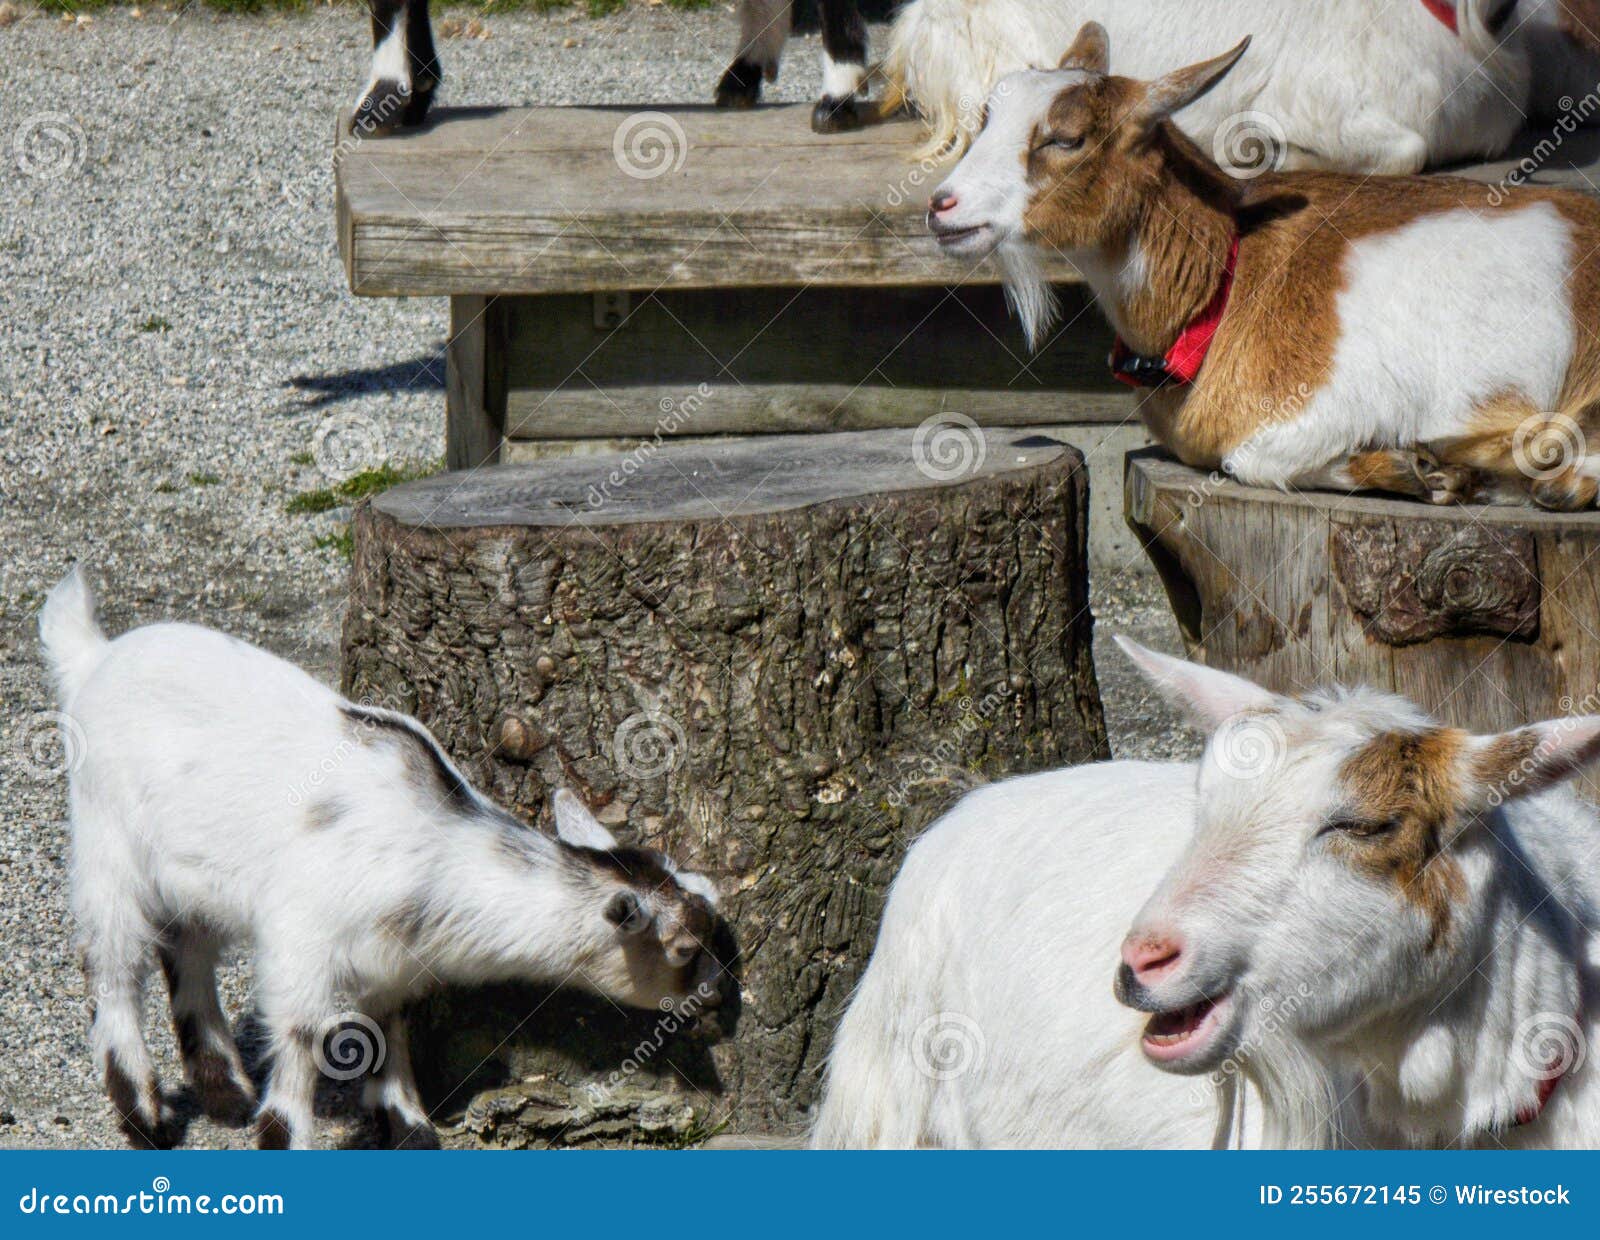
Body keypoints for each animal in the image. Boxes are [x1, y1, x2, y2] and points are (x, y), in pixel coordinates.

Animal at [39, 567, 722, 1150]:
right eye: (683, 948)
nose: (717, 994)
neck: (436, 851)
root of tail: (94, 657)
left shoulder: (395, 959)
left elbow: (389, 1029)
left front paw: (410, 1128)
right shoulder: (302, 944)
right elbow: (299, 1036)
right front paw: (285, 1139)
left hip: (193, 872)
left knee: (187, 949)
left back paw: (226, 1096)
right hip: (104, 839)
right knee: (112, 962)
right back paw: (146, 1116)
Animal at [929, 23, 1600, 510]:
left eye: (1066, 139)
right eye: (987, 118)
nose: (942, 205)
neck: (1226, 283)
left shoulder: (1333, 400)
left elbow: (1250, 457)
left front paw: (1419, 467)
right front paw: (1436, 472)